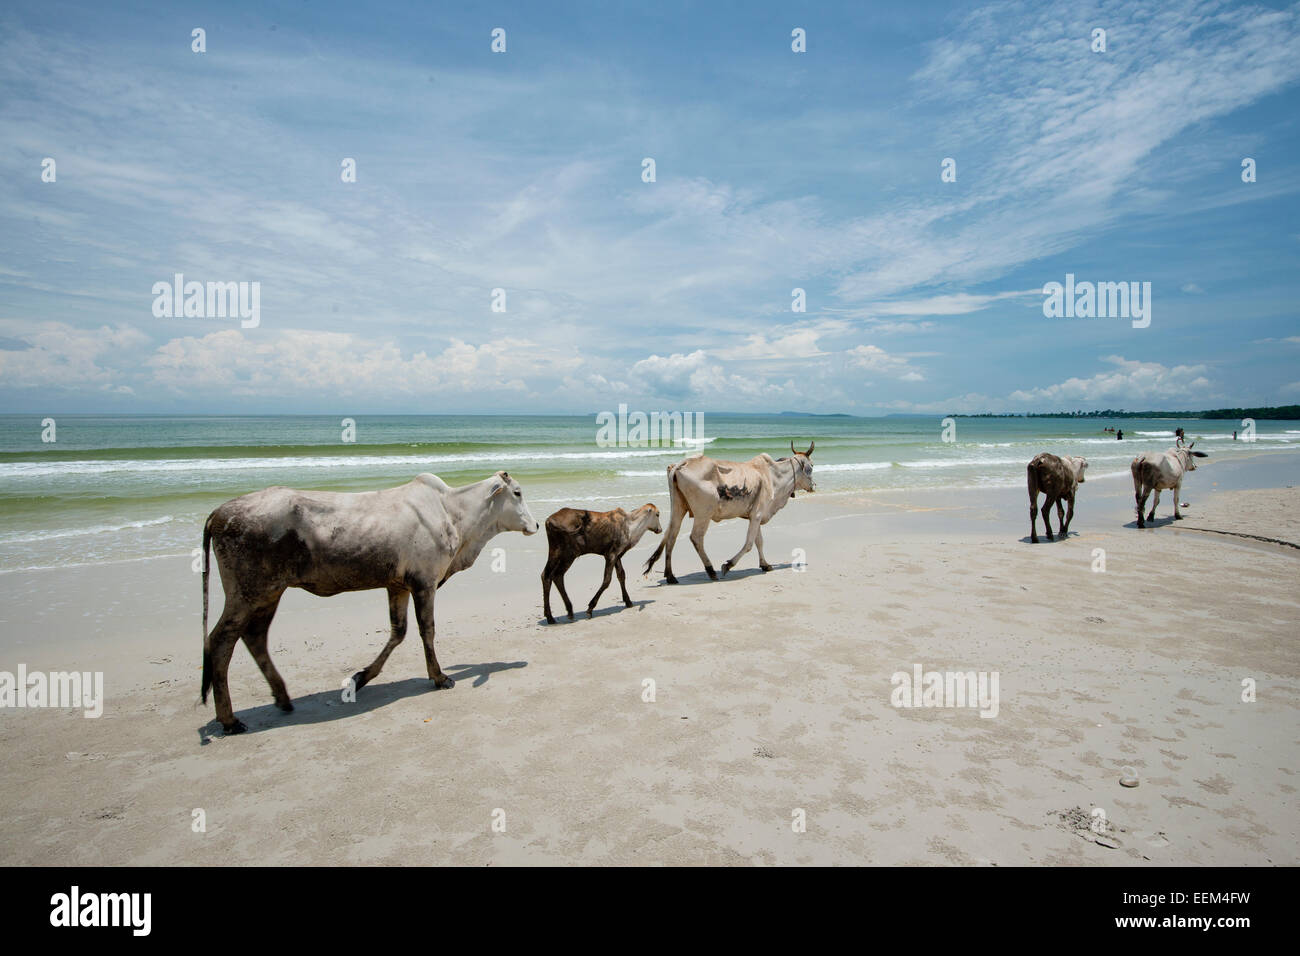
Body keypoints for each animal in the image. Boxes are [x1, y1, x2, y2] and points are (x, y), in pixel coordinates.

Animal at [200, 471, 539, 734]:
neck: (453, 513)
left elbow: (398, 632)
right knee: (220, 640)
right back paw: (229, 719)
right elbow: (426, 631)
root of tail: (217, 513)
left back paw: (282, 697)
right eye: (517, 492)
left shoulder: (397, 585)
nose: (535, 526)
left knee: (254, 637)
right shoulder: (424, 583)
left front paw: (360, 678)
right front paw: (439, 677)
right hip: (248, 592)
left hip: (269, 593)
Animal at [642, 441, 816, 583]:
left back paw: (670, 576)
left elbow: (759, 541)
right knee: (696, 537)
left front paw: (765, 565)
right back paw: (710, 570)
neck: (773, 477)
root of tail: (680, 464)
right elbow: (749, 543)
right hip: (703, 514)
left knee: (672, 536)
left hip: (678, 508)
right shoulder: (757, 514)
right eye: (812, 466)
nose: (814, 485)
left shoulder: (755, 516)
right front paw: (728, 565)